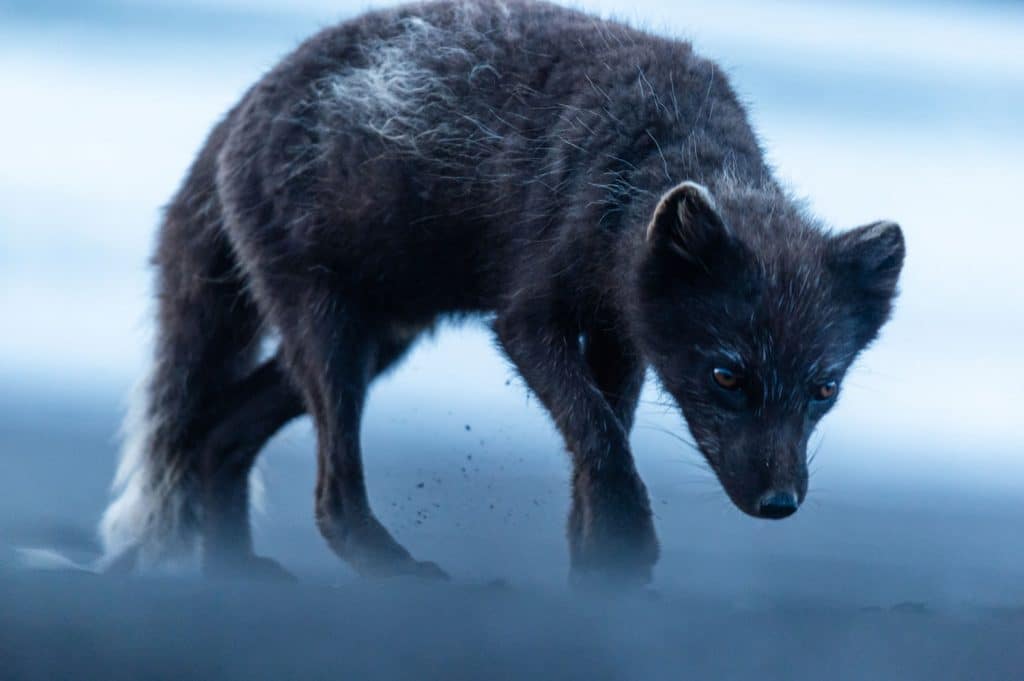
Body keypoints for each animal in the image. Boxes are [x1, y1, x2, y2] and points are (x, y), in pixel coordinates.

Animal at [98, 0, 905, 585]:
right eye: (727, 376)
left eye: (824, 389)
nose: (779, 504)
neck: (641, 151)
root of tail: (236, 110)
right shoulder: (525, 318)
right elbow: (599, 436)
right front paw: (625, 548)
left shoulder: (619, 332)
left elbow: (600, 439)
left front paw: (596, 564)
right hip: (330, 333)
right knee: (329, 494)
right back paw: (396, 572)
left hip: (378, 340)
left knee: (217, 436)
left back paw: (237, 574)